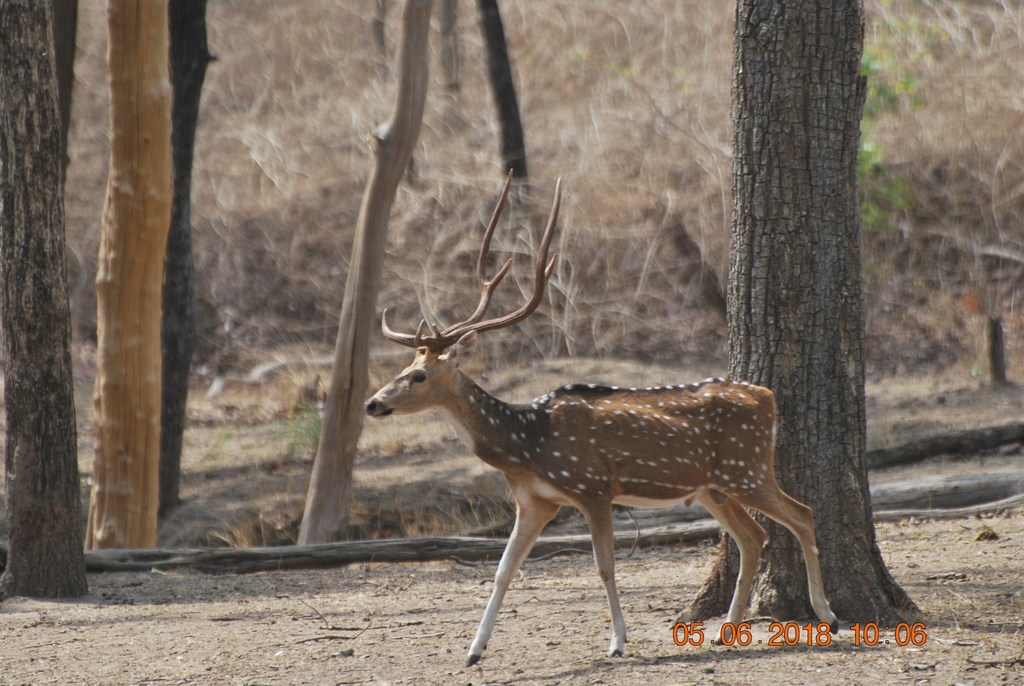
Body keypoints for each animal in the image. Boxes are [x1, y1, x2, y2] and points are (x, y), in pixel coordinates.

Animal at [365, 174, 839, 666]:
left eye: (418, 375)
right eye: (404, 367)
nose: (373, 404)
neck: (526, 445)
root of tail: (767, 396)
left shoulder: (592, 486)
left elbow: (605, 567)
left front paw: (616, 642)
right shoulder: (535, 502)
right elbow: (502, 570)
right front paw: (473, 652)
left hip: (747, 467)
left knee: (801, 514)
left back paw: (826, 614)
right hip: (713, 486)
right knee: (753, 536)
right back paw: (727, 629)